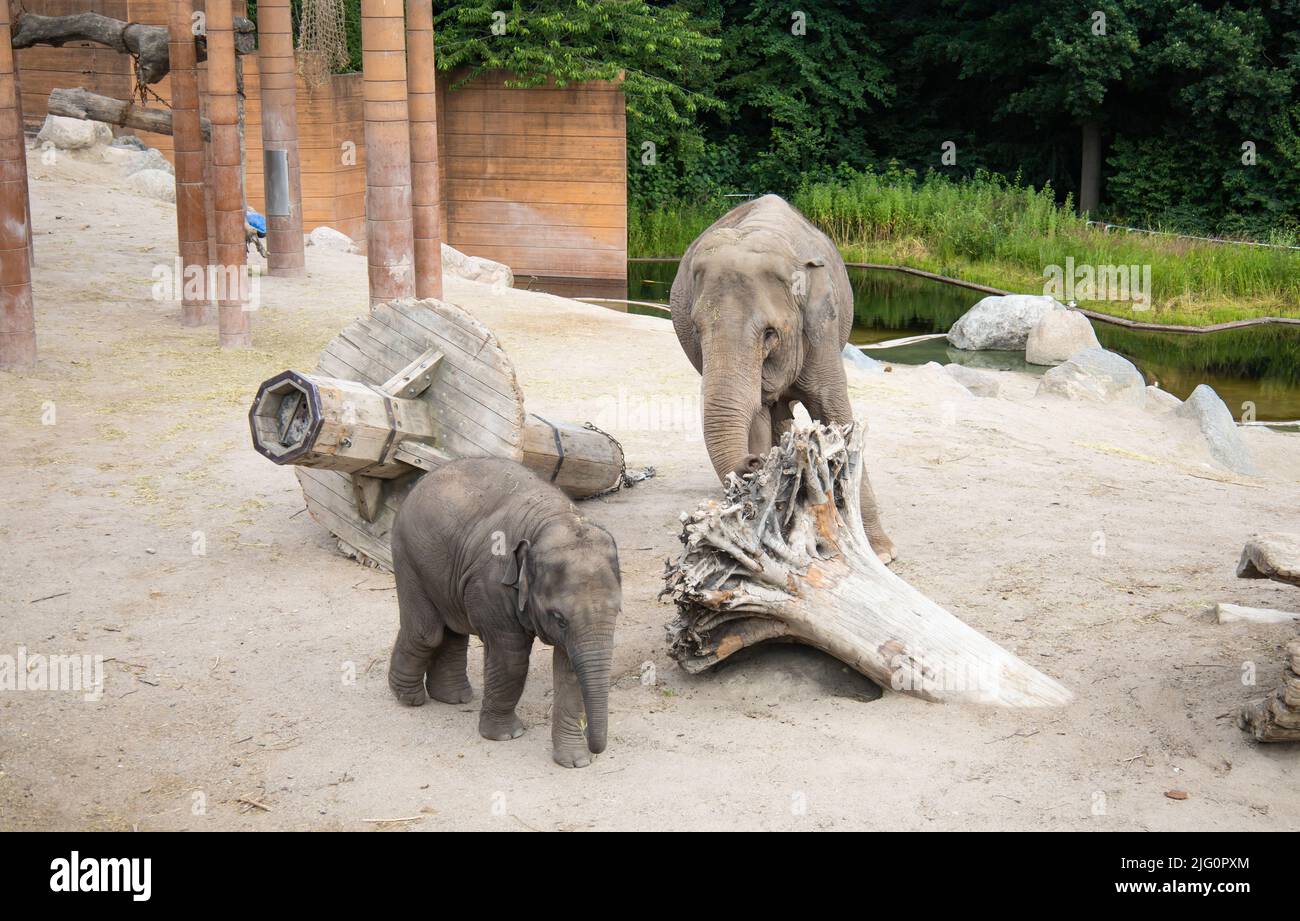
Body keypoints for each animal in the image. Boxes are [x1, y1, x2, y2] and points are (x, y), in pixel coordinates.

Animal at [387, 457, 621, 768]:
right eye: (559, 618)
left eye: (618, 611)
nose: (597, 750)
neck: (554, 519)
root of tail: (423, 479)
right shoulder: (491, 584)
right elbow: (511, 656)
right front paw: (505, 736)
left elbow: (569, 669)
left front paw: (574, 762)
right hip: (407, 555)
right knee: (427, 633)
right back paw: (408, 698)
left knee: (453, 630)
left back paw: (454, 698)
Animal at [670, 193, 895, 563]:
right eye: (697, 330)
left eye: (770, 333)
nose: (752, 461)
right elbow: (758, 415)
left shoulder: (821, 328)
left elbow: (835, 412)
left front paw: (882, 554)